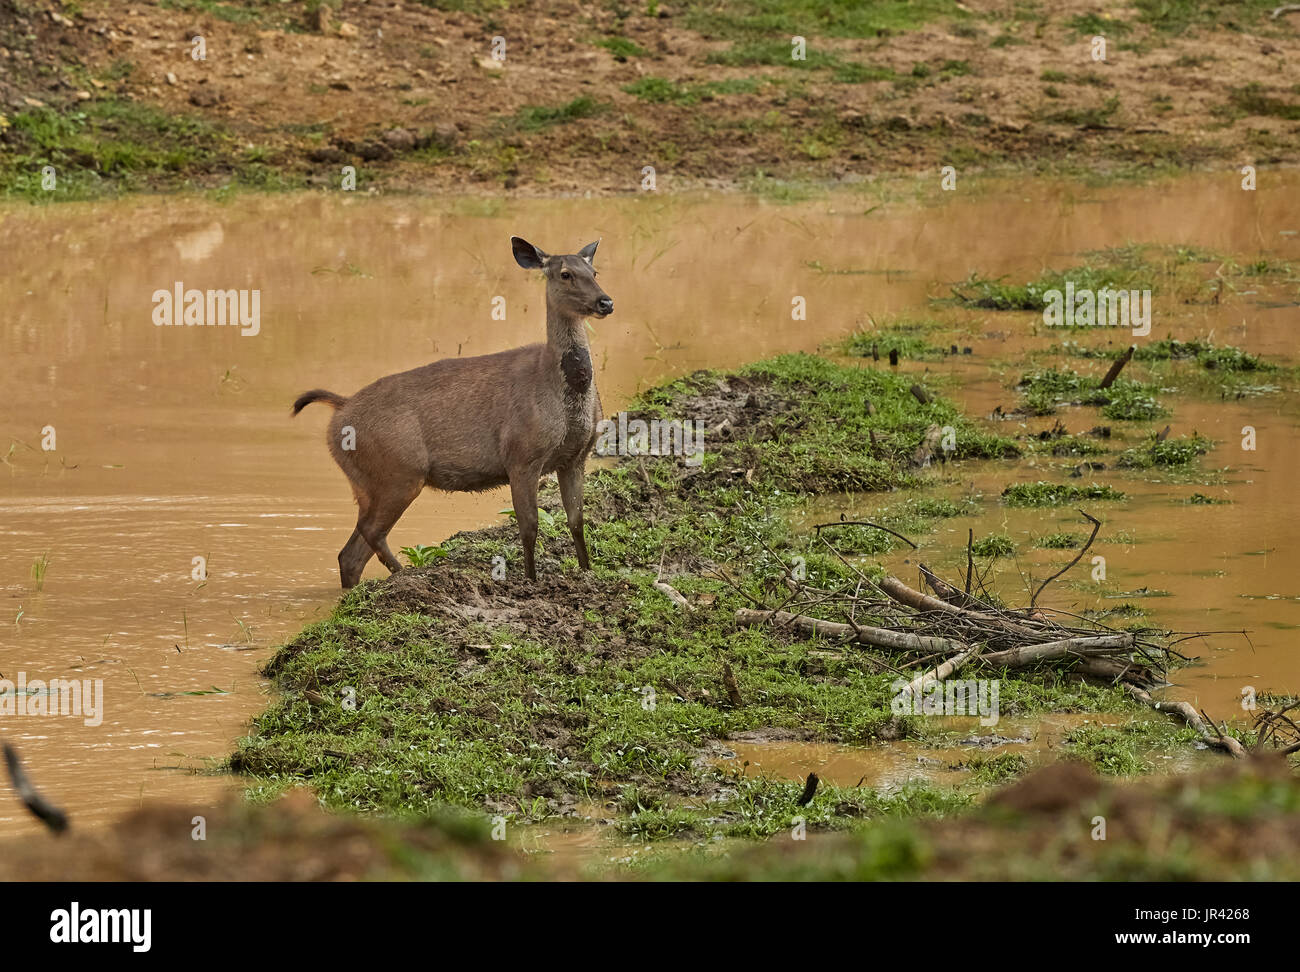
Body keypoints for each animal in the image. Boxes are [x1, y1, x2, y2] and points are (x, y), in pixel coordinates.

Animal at [292, 236, 613, 589]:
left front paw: (587, 573)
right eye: (565, 274)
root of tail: (341, 408)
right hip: (399, 471)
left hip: (369, 482)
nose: (606, 302)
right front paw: (530, 581)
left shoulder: (575, 457)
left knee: (351, 554)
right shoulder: (521, 455)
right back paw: (409, 575)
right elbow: (529, 526)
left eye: (595, 271)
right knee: (371, 532)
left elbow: (577, 521)